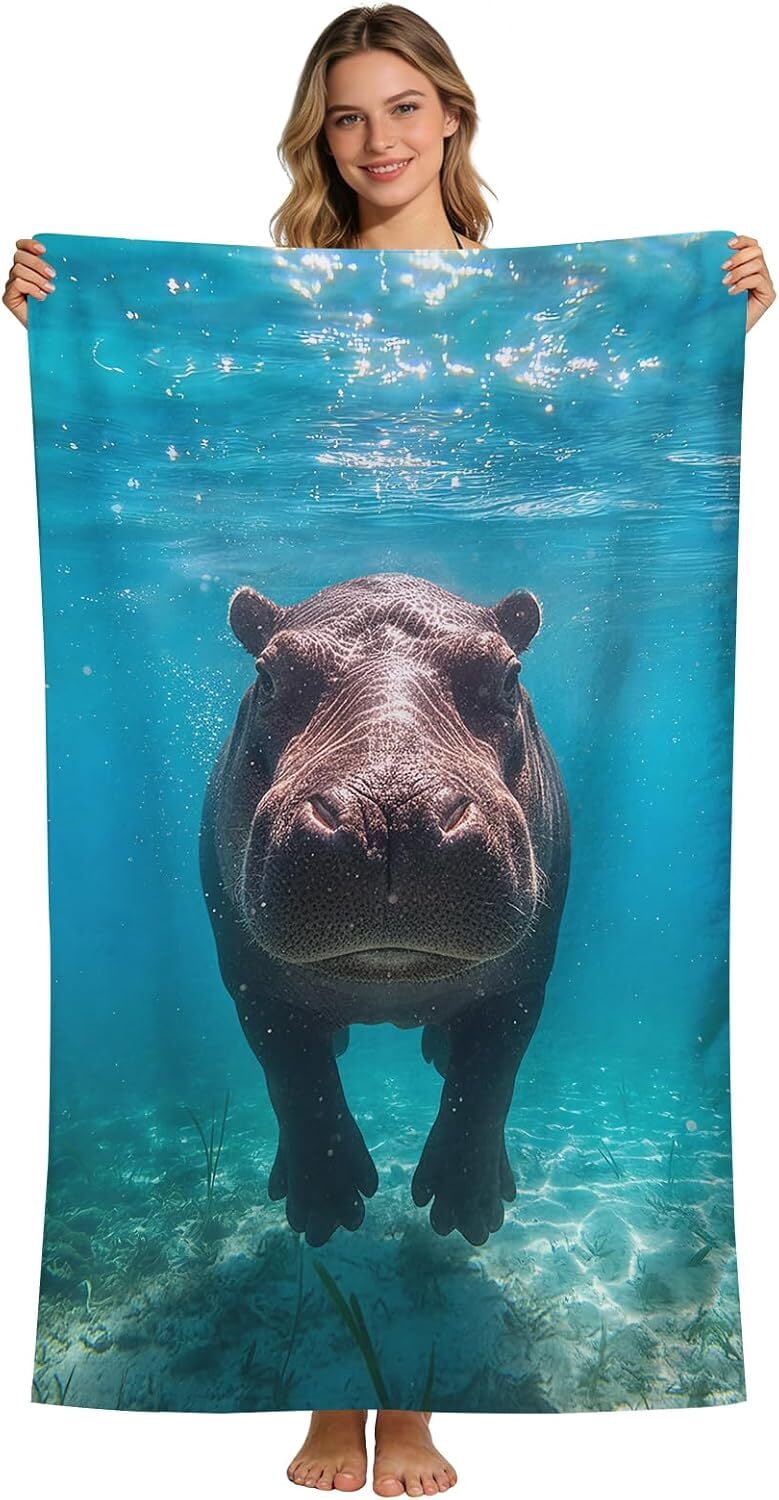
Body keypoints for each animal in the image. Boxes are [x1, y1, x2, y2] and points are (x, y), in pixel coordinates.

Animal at [199, 572, 570, 1248]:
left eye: (508, 675)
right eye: (267, 676)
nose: (390, 811)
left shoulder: (524, 979)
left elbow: (488, 1078)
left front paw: (467, 1208)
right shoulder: (250, 981)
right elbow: (297, 1079)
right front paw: (324, 1208)